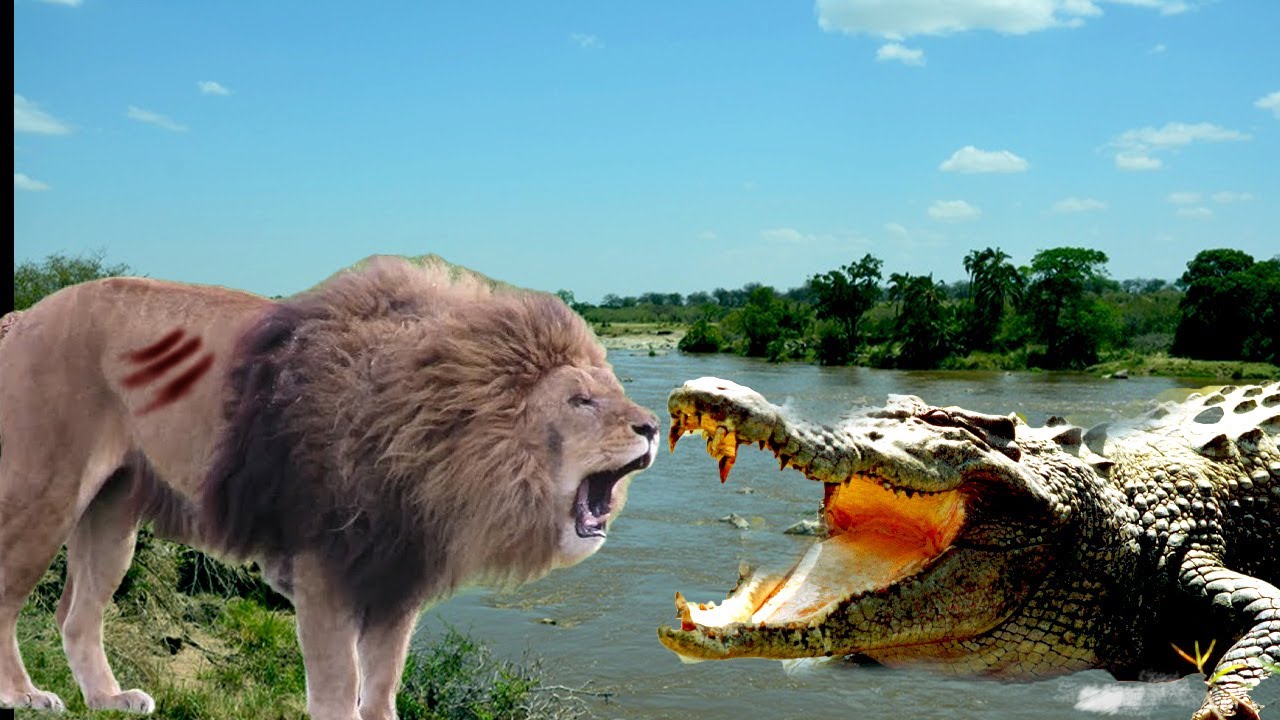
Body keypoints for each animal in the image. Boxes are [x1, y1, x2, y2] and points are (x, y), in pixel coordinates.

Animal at [0, 255, 658, 720]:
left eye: (616, 389)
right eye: (581, 400)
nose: (654, 426)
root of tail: (26, 315)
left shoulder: (396, 575)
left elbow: (382, 684)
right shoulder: (324, 568)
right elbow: (340, 684)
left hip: (113, 517)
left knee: (77, 616)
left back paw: (108, 701)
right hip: (44, 494)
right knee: (11, 596)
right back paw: (25, 696)